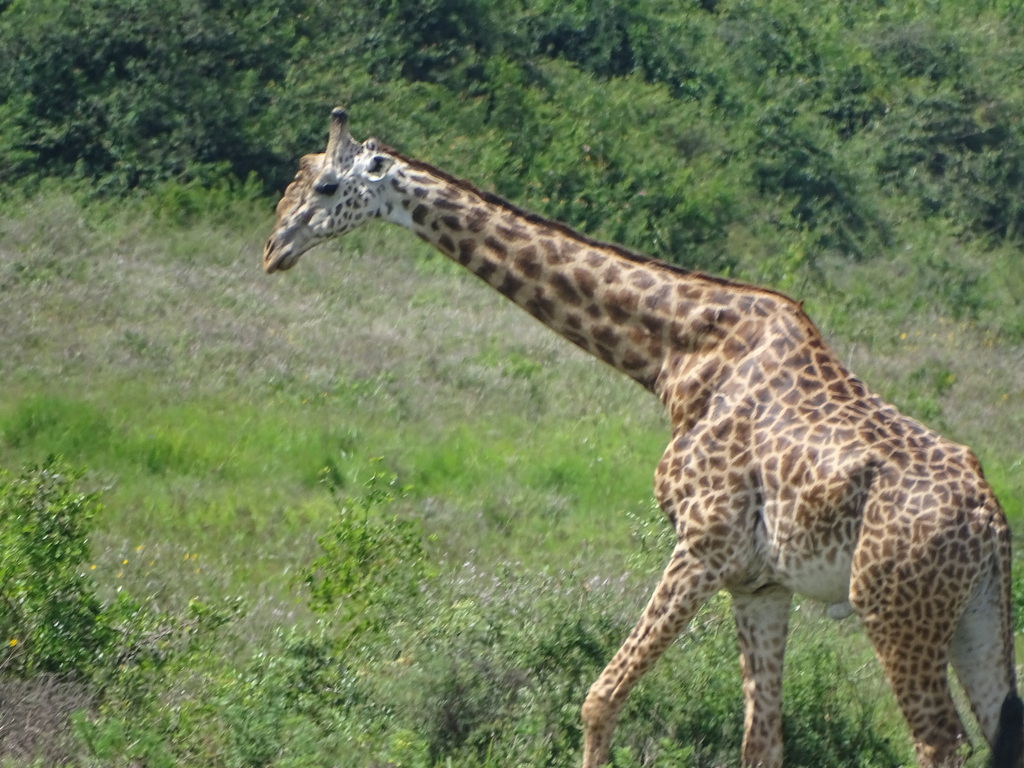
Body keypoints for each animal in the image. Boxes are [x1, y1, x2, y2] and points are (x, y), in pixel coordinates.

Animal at [263, 107, 1023, 768]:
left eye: (326, 185)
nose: (274, 249)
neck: (671, 355)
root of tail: (992, 520)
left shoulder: (703, 544)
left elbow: (599, 698)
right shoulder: (758, 584)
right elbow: (761, 743)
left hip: (896, 611)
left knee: (939, 742)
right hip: (974, 616)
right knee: (995, 730)